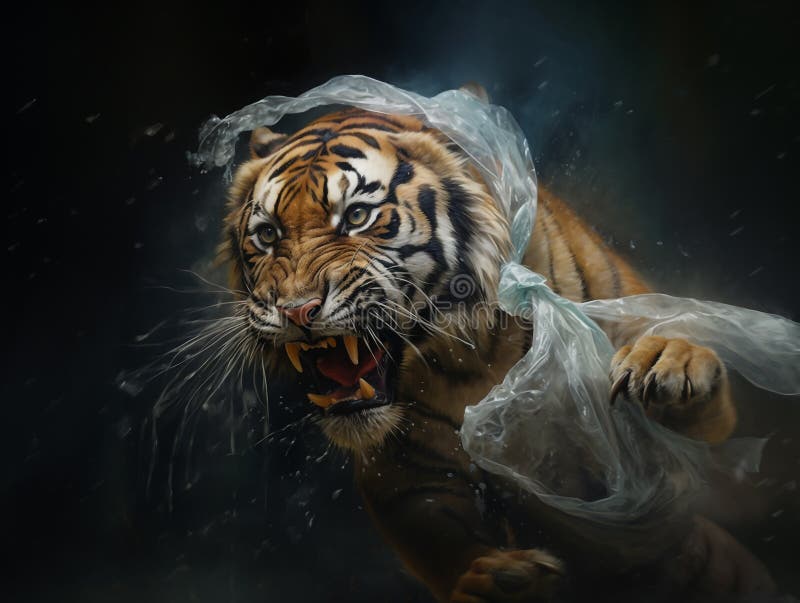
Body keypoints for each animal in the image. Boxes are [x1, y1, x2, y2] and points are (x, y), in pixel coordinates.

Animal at [217, 92, 775, 602]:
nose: (296, 310)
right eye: (267, 234)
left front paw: (669, 365)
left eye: (356, 216)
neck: (477, 353)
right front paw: (501, 581)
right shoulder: (404, 476)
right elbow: (443, 538)